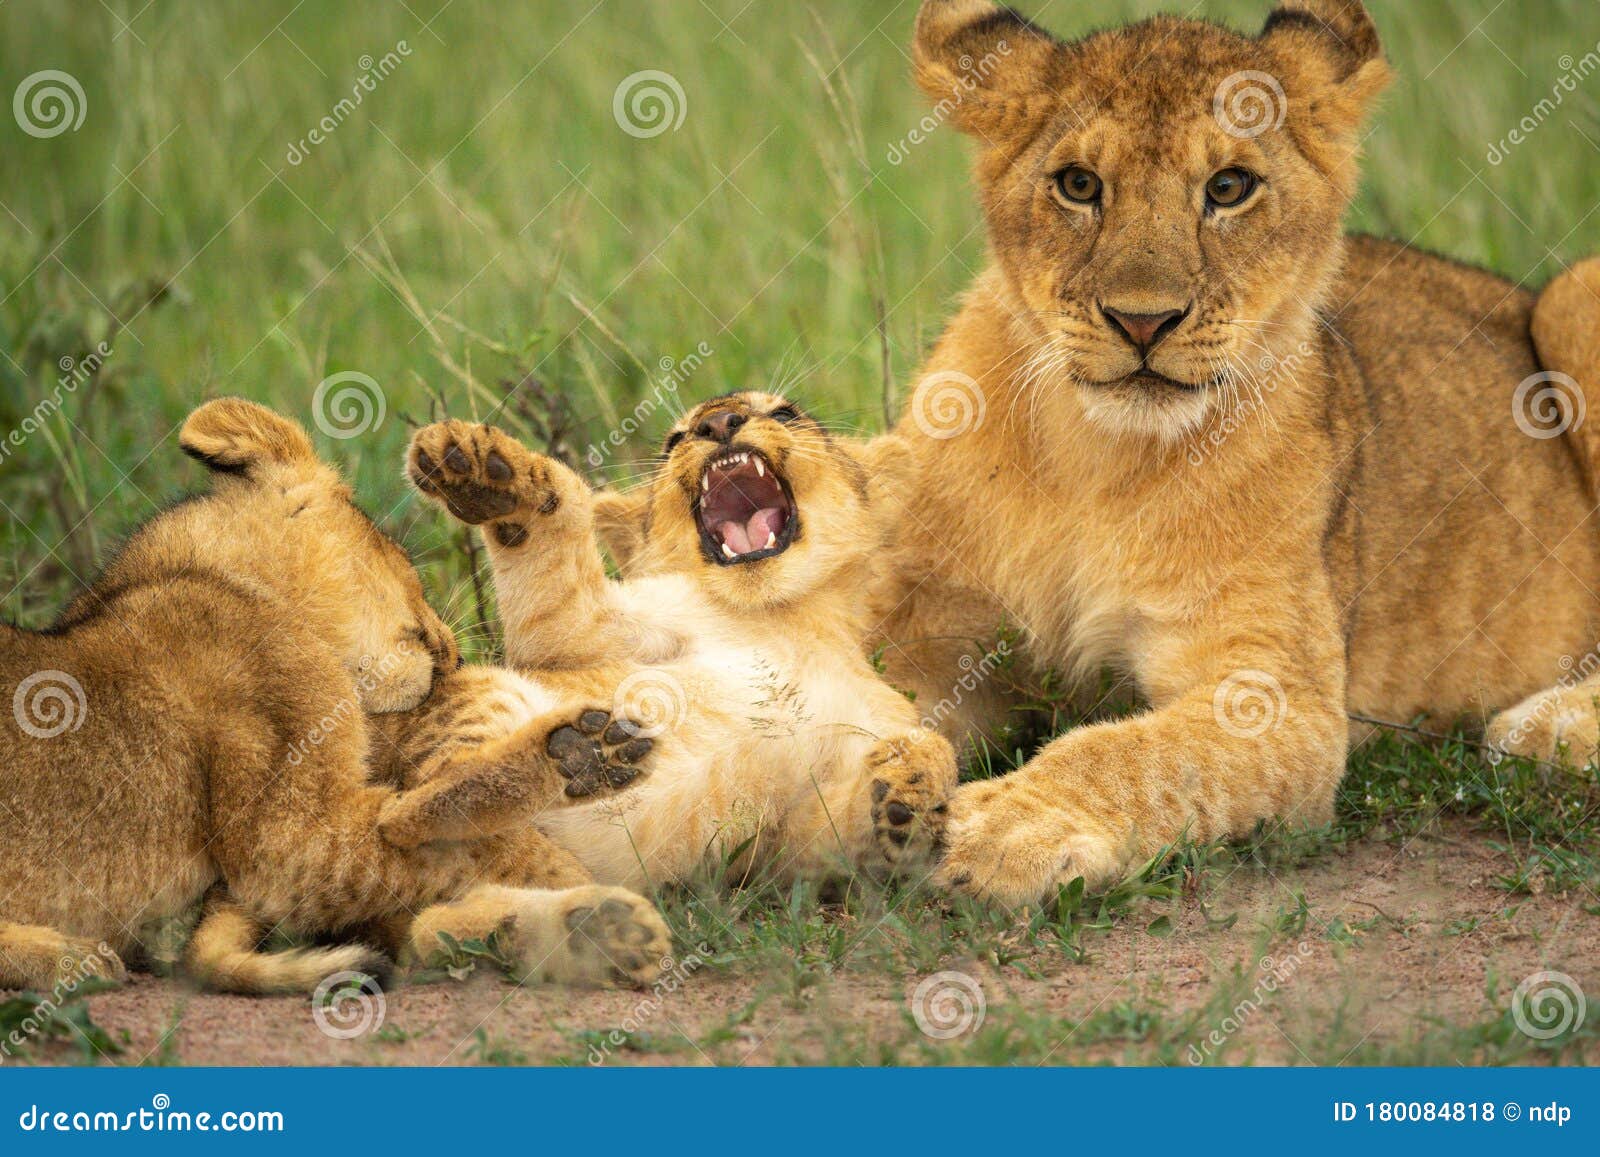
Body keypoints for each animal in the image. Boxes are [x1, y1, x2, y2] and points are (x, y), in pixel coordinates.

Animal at [398, 393, 959, 891]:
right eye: (674, 441)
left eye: (785, 413)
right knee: (406, 810)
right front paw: (483, 469)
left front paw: (910, 792)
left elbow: (845, 828)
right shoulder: (582, 630)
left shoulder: (787, 841)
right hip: (486, 693)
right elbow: (556, 572)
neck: (785, 618)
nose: (719, 420)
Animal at [845, 0, 1600, 905]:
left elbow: (1128, 751)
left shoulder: (1275, 695)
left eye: (1229, 187)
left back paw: (1545, 725)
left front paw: (1004, 828)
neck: (1094, 458)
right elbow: (856, 697)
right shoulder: (930, 631)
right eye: (1078, 184)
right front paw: (865, 789)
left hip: (1574, 293)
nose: (1142, 320)